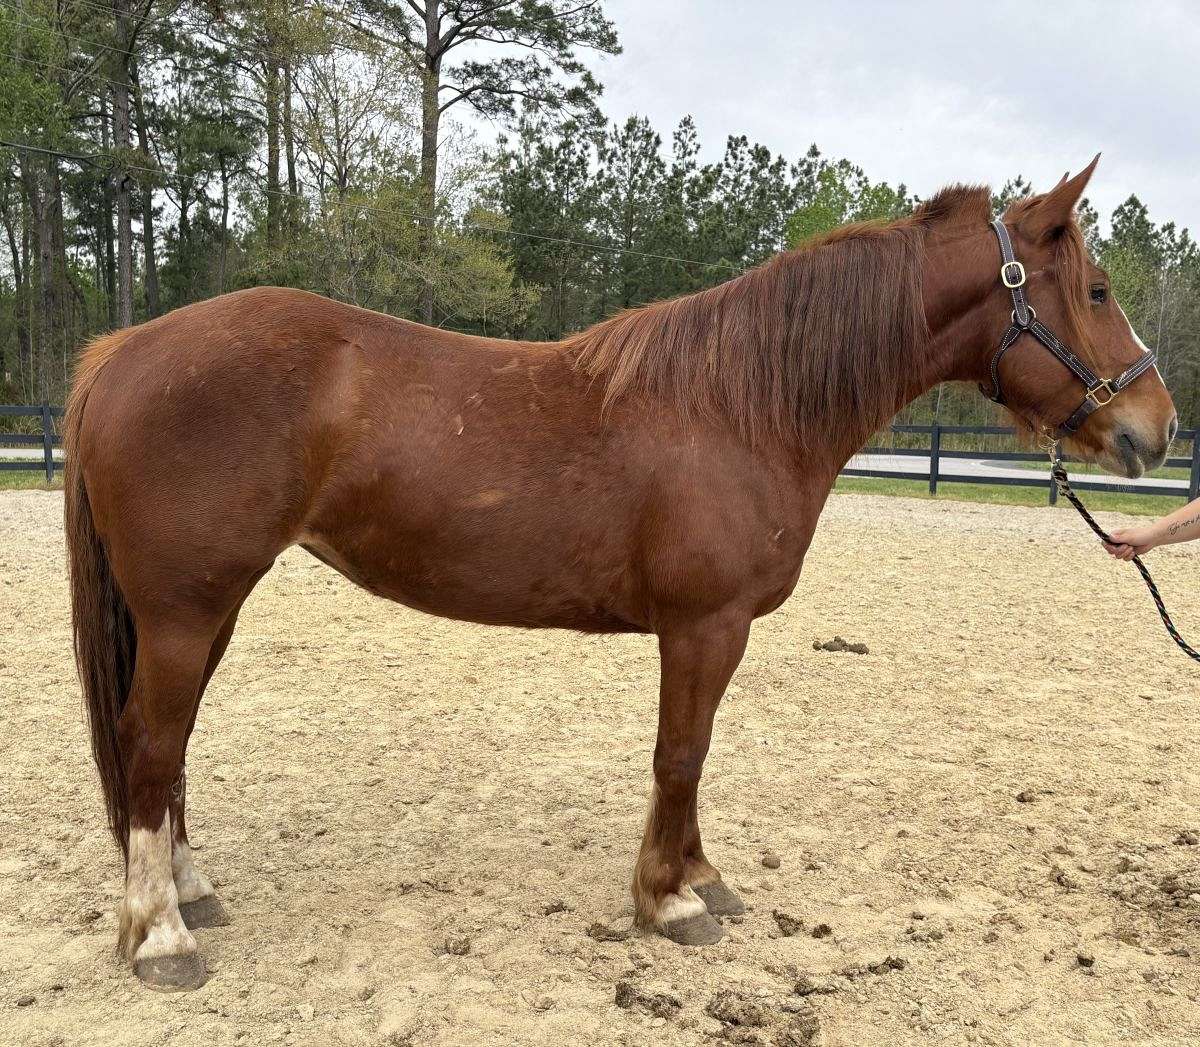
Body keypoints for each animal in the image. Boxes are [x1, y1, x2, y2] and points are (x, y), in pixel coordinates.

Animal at [64, 157, 1176, 990]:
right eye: (1098, 290)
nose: (1155, 429)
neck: (743, 404)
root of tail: (123, 349)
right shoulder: (705, 623)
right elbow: (681, 755)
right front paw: (671, 901)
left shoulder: (714, 630)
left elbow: (696, 758)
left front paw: (701, 877)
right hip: (185, 609)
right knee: (151, 746)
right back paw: (161, 935)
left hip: (203, 613)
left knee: (167, 752)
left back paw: (189, 893)